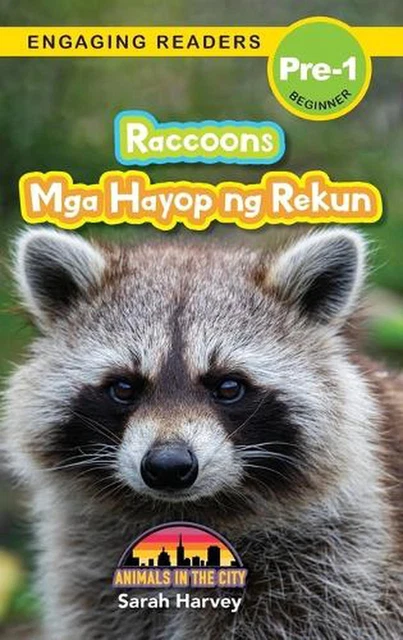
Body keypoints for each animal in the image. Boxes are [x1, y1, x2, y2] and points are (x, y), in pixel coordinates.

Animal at [2, 228, 403, 639]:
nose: (168, 466)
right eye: (124, 387)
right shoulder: (92, 572)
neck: (182, 513)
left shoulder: (338, 571)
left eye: (228, 386)